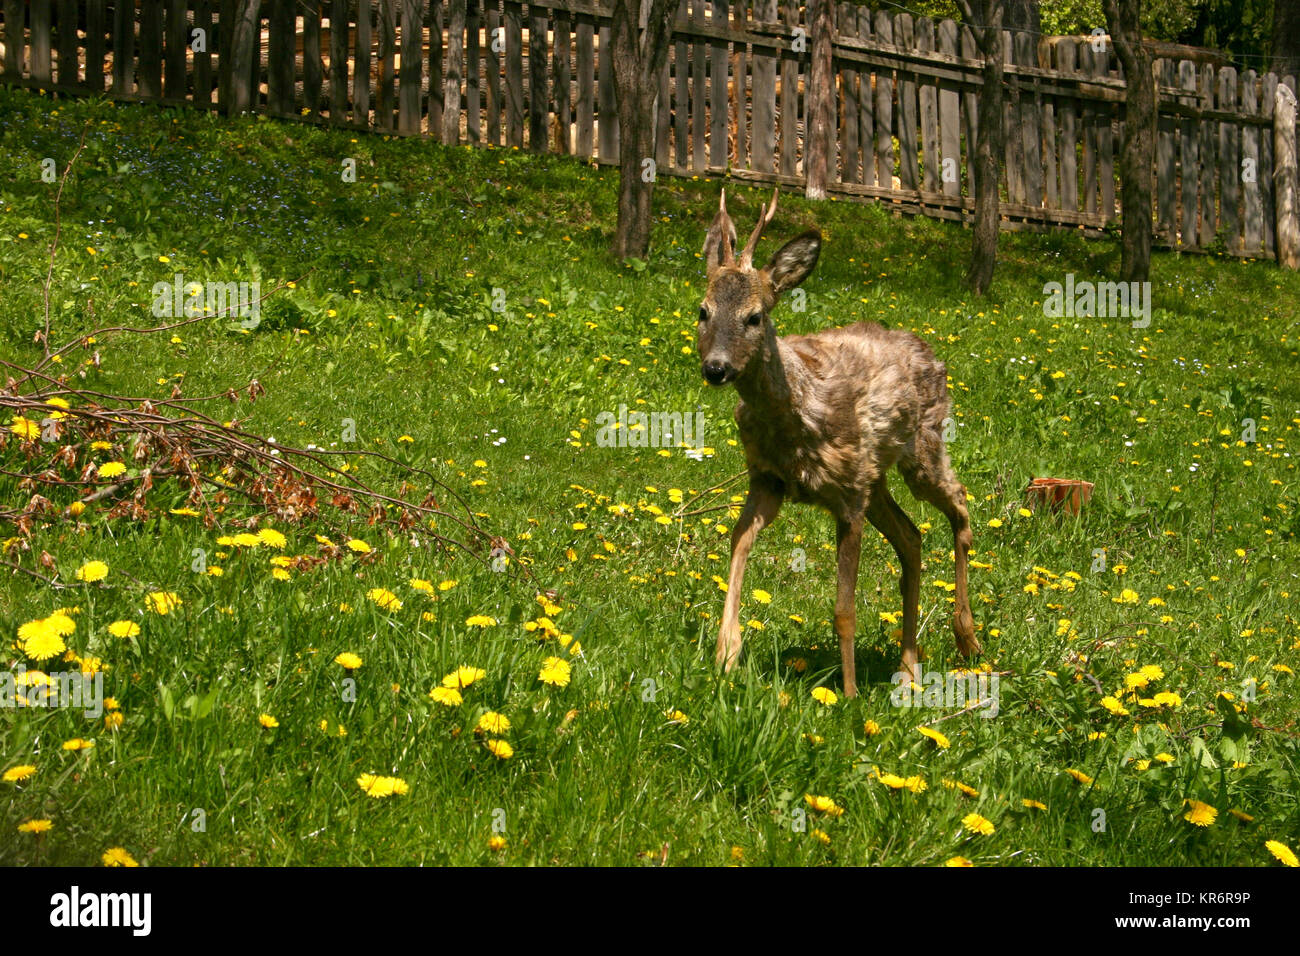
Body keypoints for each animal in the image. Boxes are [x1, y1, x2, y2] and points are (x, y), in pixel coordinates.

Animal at [697, 188, 980, 698]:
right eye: (702, 311)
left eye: (755, 316)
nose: (716, 368)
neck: (797, 413)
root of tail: (931, 351)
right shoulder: (767, 480)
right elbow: (737, 542)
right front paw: (726, 654)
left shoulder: (848, 498)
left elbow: (843, 610)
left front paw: (847, 697)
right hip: (876, 478)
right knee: (912, 537)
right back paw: (908, 667)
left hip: (921, 448)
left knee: (960, 506)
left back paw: (966, 638)